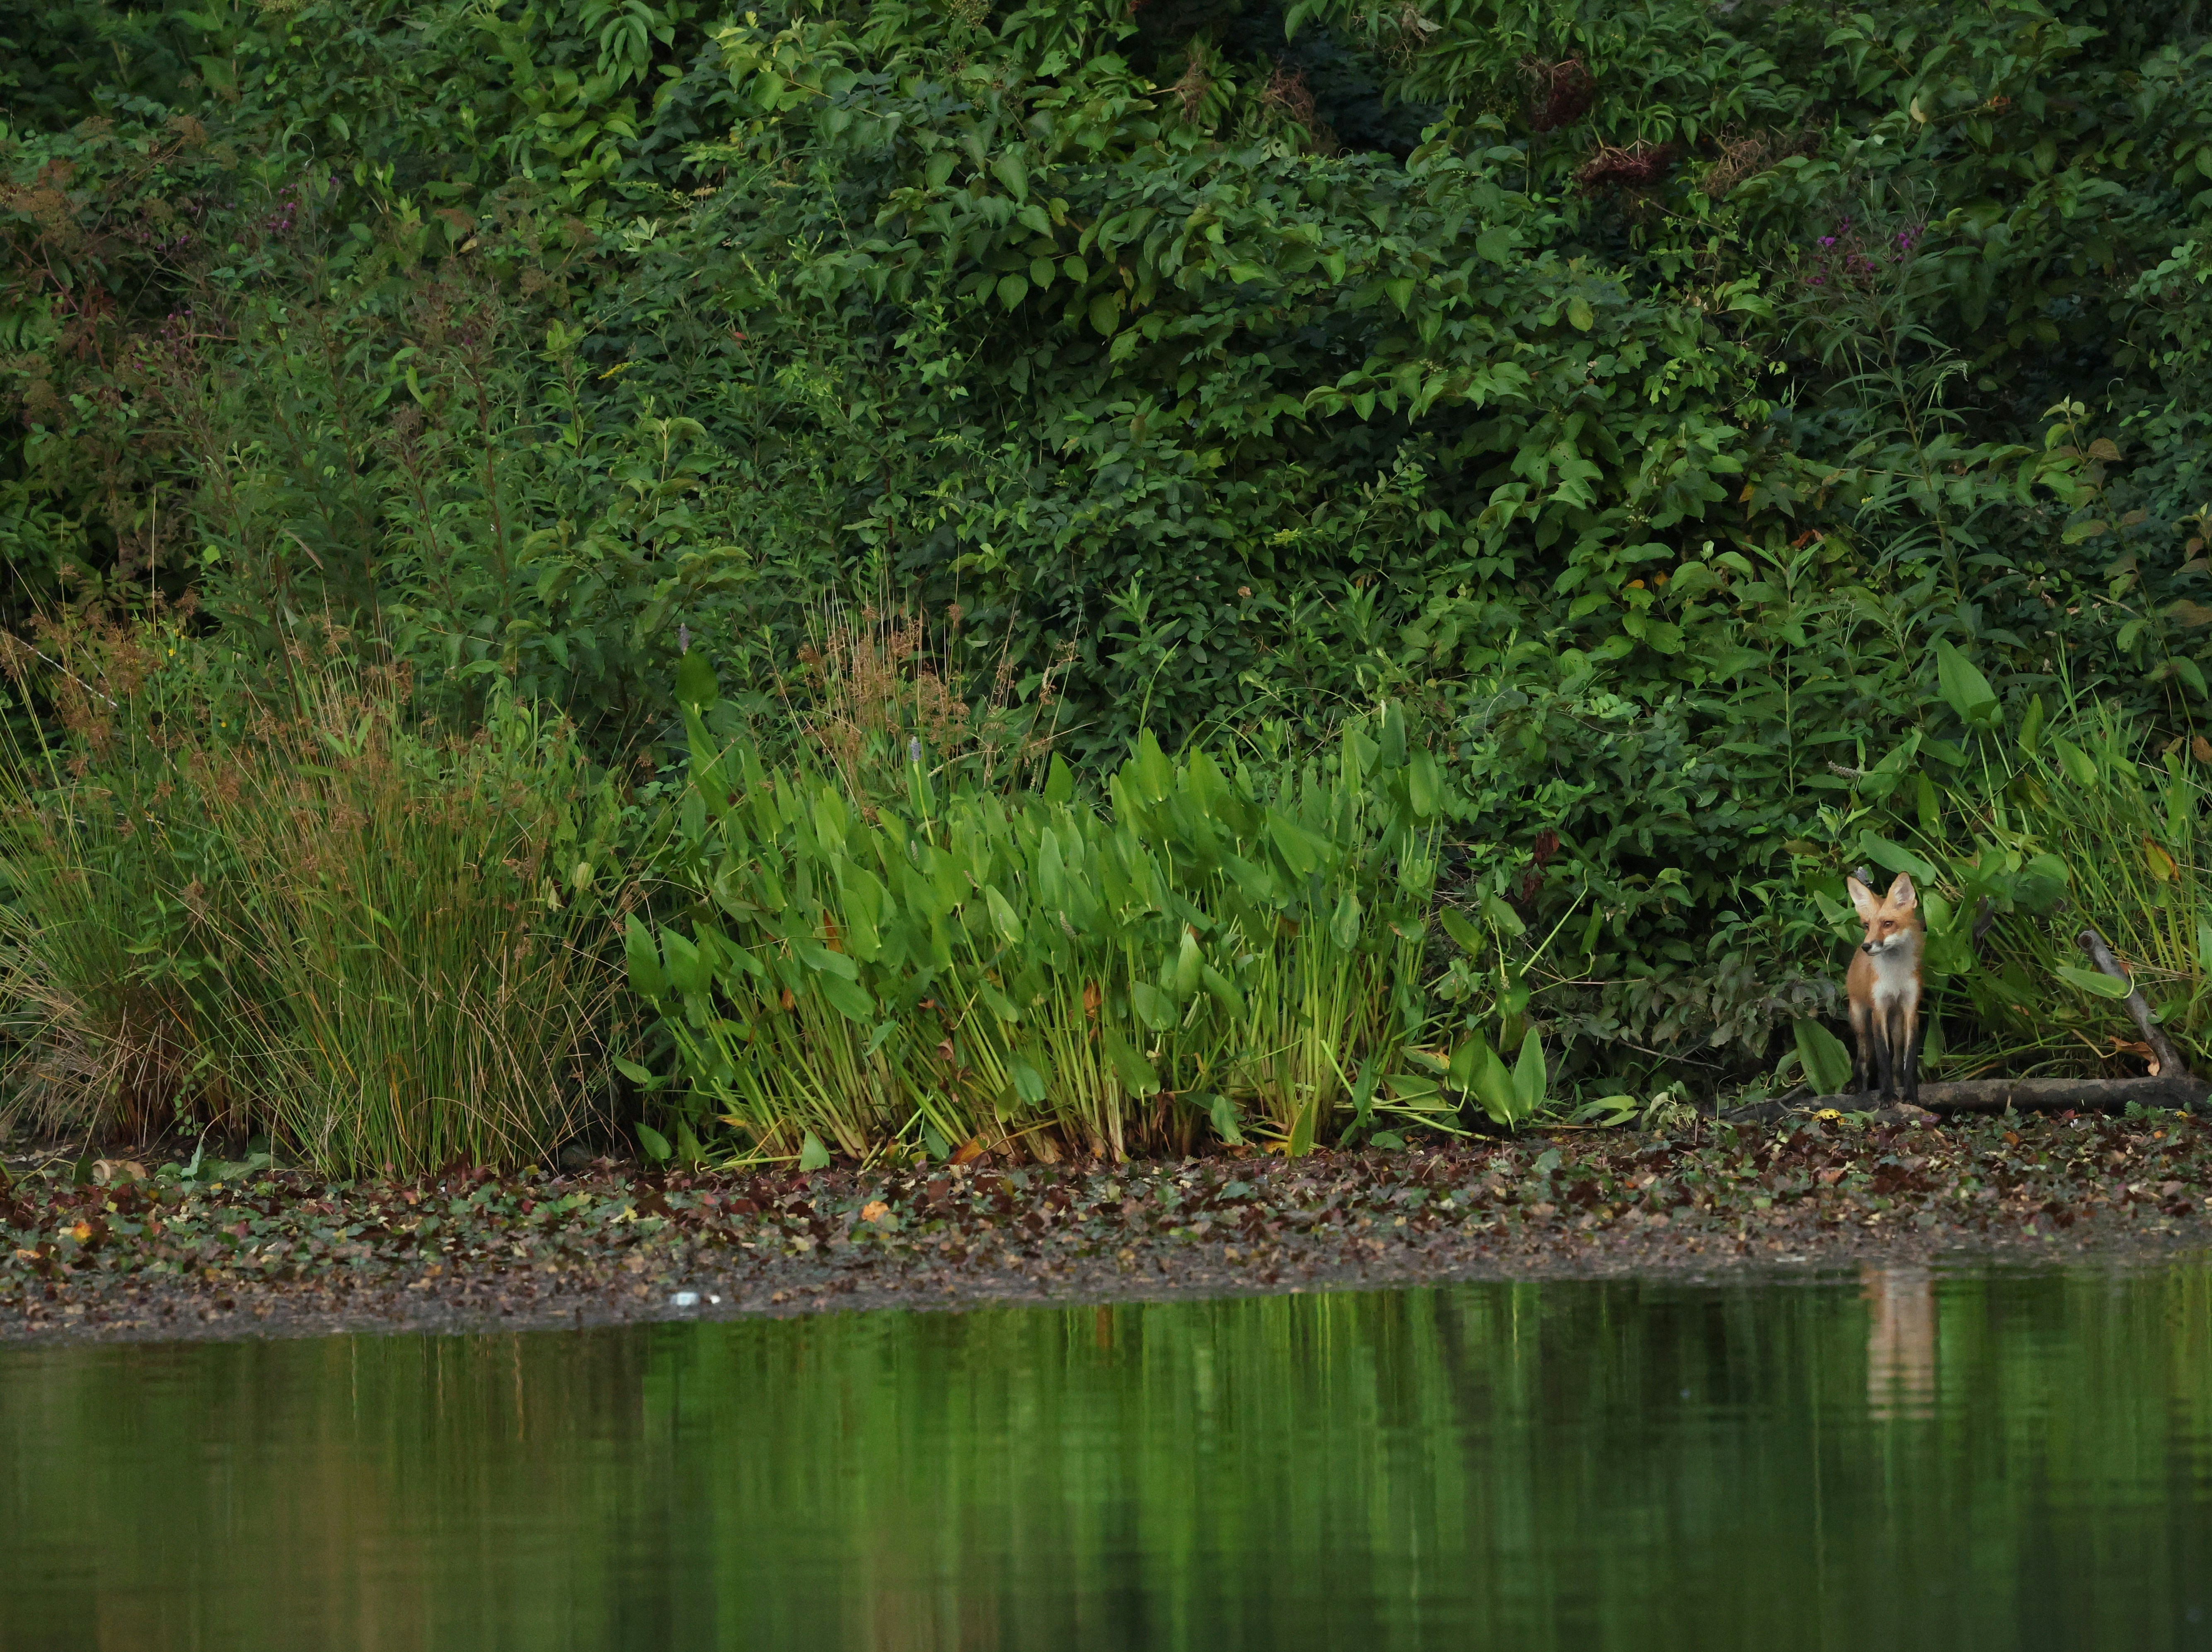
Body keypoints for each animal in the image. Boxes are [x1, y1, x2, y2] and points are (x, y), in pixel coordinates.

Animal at [1845, 873, 1926, 1105]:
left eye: (1888, 924)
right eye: (1866, 926)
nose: (1866, 946)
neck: (1895, 978)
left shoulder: (1911, 1008)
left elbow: (1910, 1060)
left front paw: (1911, 1096)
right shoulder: (1878, 1009)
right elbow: (1882, 1057)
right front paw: (1887, 1095)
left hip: (1897, 1024)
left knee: (1898, 1059)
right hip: (1859, 1020)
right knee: (1863, 1055)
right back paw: (1858, 1085)